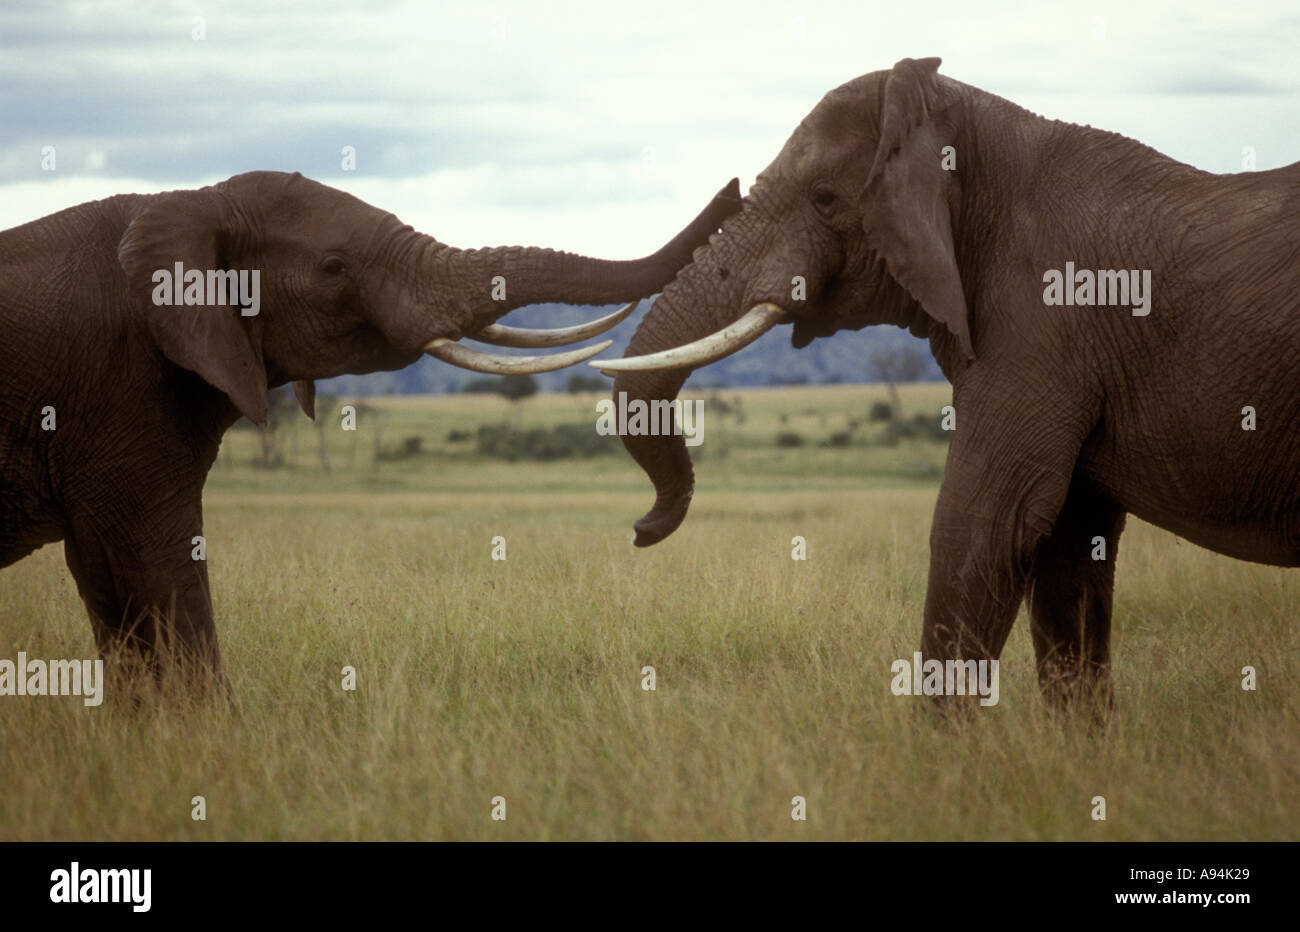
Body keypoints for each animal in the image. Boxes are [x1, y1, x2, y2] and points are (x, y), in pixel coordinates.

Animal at [0, 170, 742, 693]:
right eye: (334, 269)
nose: (640, 530)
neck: (186, 202)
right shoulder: (114, 392)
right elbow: (155, 563)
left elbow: (114, 586)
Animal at [597, 56, 1300, 715]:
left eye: (823, 197)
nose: (640, 529)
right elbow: (1070, 550)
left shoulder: (1042, 327)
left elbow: (983, 526)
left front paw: (939, 762)